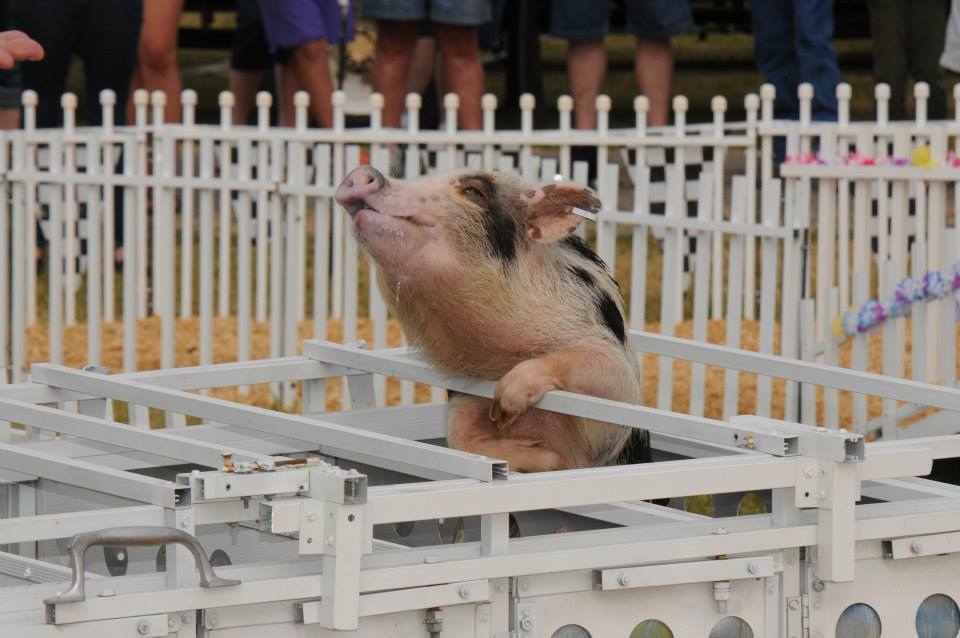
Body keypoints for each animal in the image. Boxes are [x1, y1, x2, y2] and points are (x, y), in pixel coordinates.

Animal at [335, 166, 648, 472]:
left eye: (474, 191)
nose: (363, 172)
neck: (502, 358)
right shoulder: (467, 394)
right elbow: (459, 437)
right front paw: (551, 459)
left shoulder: (618, 384)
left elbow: (605, 370)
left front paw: (505, 405)